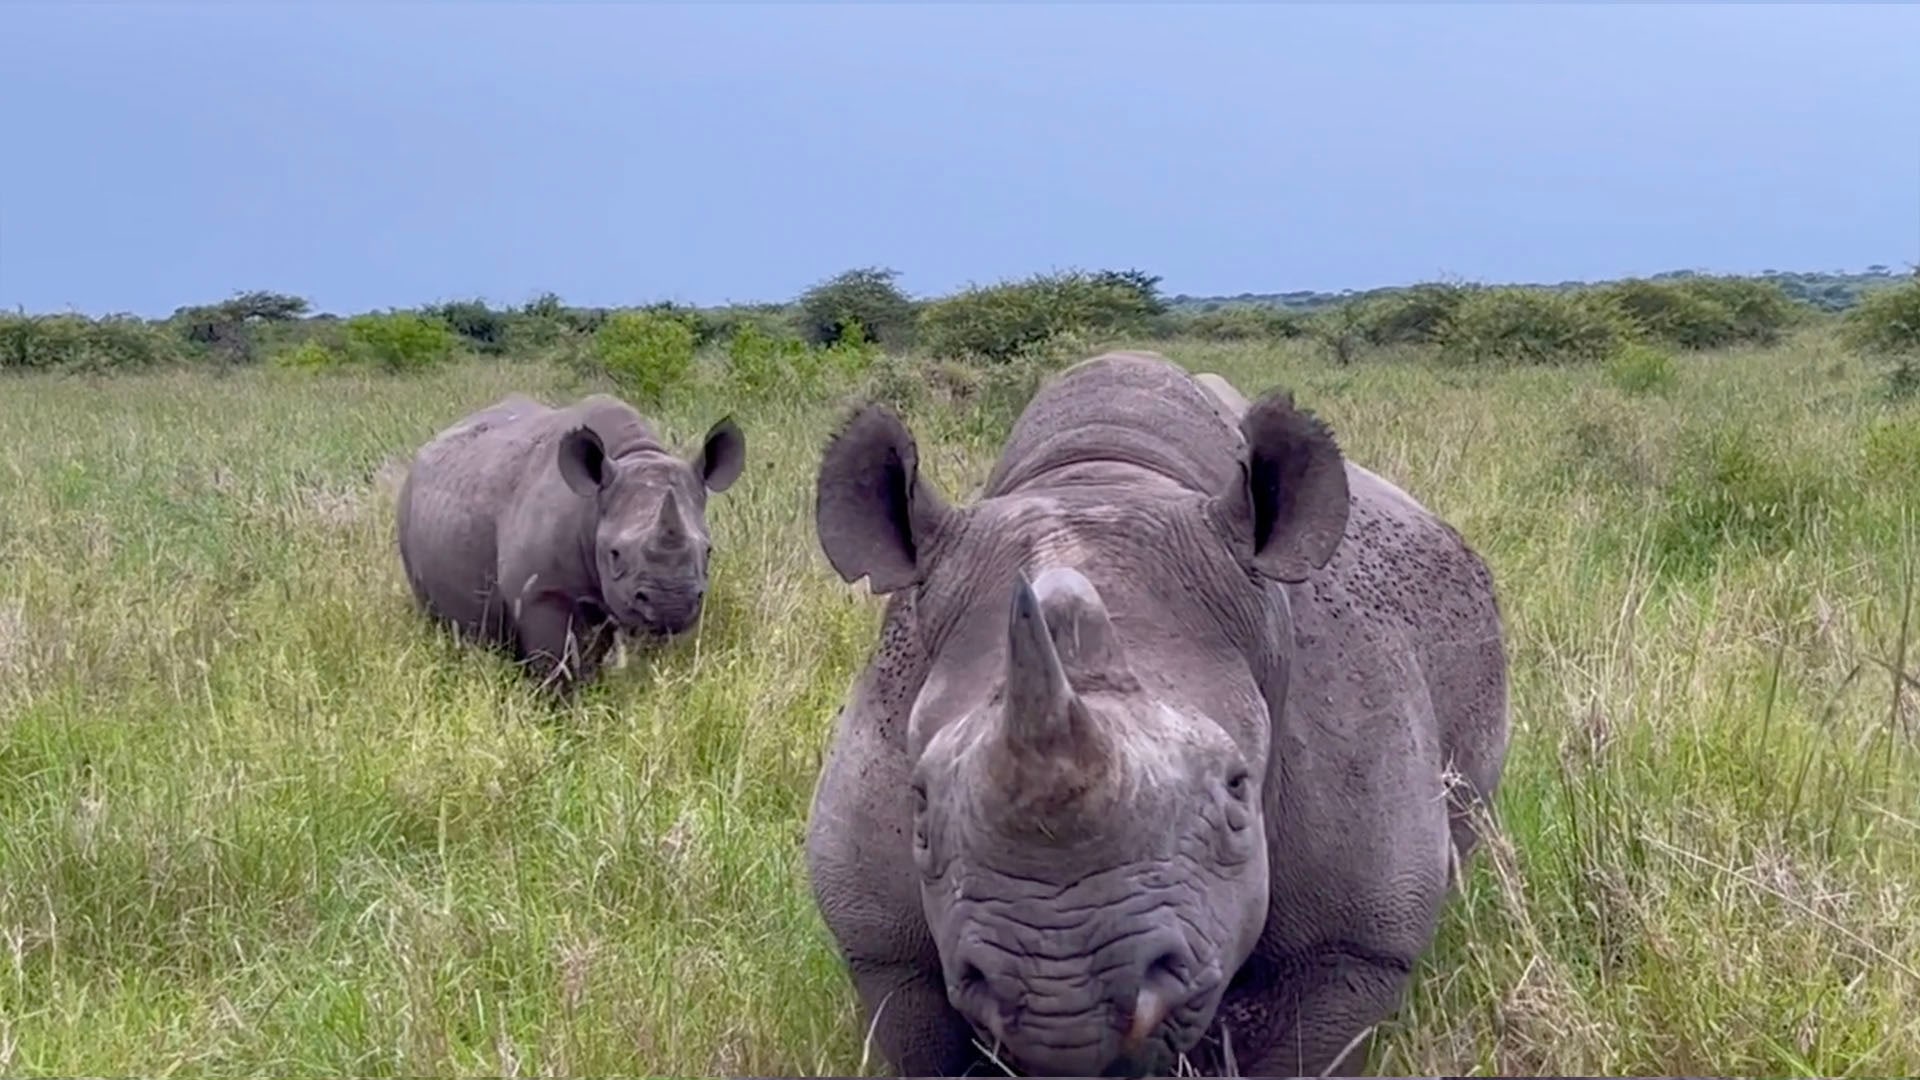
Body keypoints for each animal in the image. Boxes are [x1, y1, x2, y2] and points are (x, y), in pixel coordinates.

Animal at [395, 392, 744, 690]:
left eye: (709, 551)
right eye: (615, 554)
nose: (671, 604)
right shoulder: (541, 590)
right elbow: (557, 662)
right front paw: (559, 712)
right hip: (407, 504)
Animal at [804, 352, 1509, 1077]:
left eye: (1237, 787)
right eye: (918, 798)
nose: (1065, 989)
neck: (1103, 480)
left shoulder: (1355, 944)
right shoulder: (882, 946)